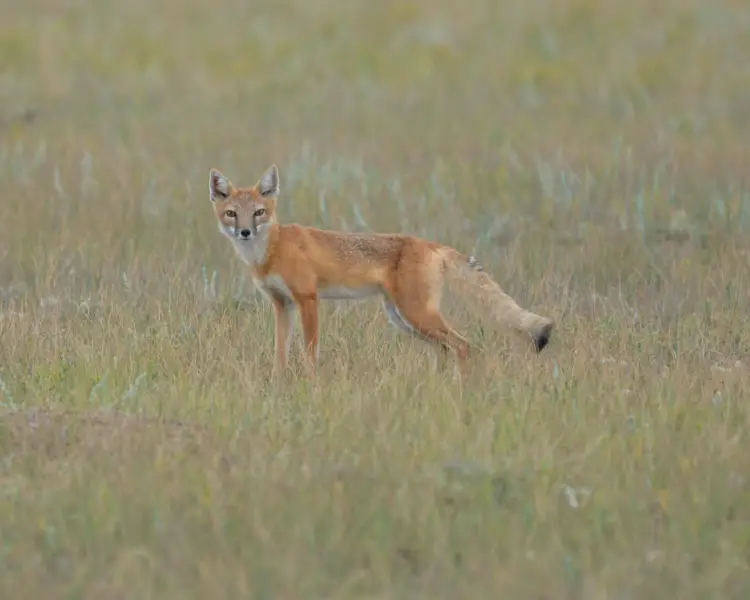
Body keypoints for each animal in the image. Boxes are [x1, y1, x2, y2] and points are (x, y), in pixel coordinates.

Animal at [209, 164, 554, 376]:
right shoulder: (282, 305)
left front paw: (310, 384)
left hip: (417, 315)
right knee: (445, 350)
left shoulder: (308, 299)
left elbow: (309, 353)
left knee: (464, 346)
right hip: (404, 319)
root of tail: (430, 244)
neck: (271, 251)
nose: (245, 232)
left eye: (259, 212)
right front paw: (279, 385)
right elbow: (280, 353)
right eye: (232, 214)